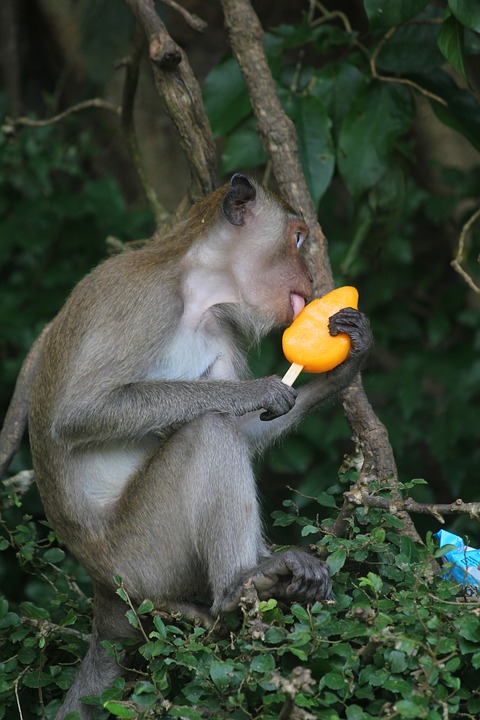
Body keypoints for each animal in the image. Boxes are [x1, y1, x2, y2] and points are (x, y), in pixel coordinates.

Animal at [26, 173, 372, 718]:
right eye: (298, 239)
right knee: (208, 430)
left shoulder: (220, 326)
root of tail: (104, 589)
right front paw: (254, 392)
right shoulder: (144, 301)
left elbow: (251, 430)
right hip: (144, 558)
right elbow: (79, 414)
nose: (312, 282)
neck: (197, 292)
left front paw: (345, 364)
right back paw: (239, 586)